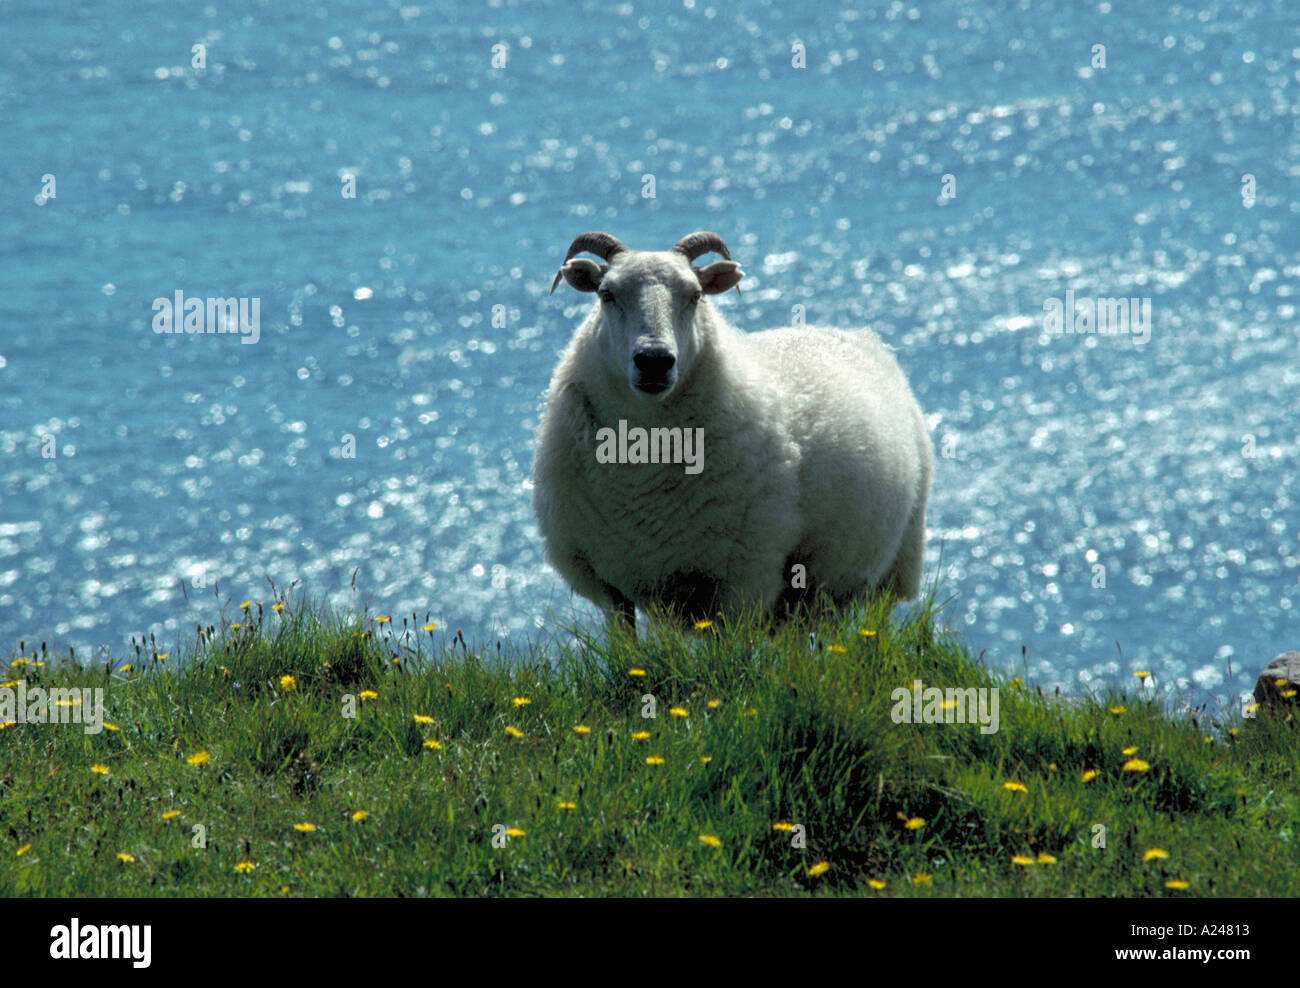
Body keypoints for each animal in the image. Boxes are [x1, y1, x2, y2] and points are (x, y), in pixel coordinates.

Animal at [532, 231, 932, 630]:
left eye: (695, 295)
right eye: (606, 294)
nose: (654, 360)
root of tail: (857, 334)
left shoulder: (743, 577)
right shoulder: (611, 584)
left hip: (894, 562)